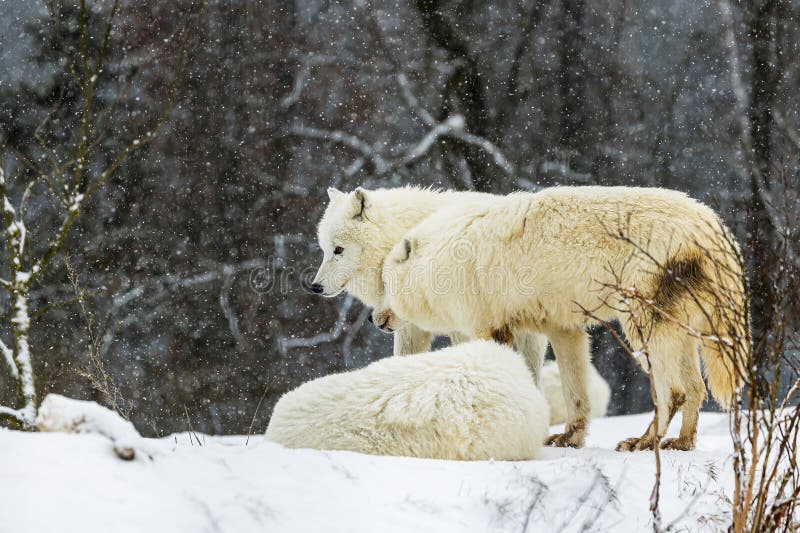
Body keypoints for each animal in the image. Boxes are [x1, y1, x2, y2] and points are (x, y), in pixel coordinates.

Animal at [374, 186, 749, 451]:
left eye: (384, 283)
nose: (376, 320)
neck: (444, 259)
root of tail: (715, 229)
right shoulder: (561, 325)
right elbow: (575, 385)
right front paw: (566, 437)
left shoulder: (487, 318)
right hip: (684, 322)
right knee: (696, 385)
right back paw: (681, 442)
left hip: (642, 309)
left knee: (673, 388)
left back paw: (641, 441)